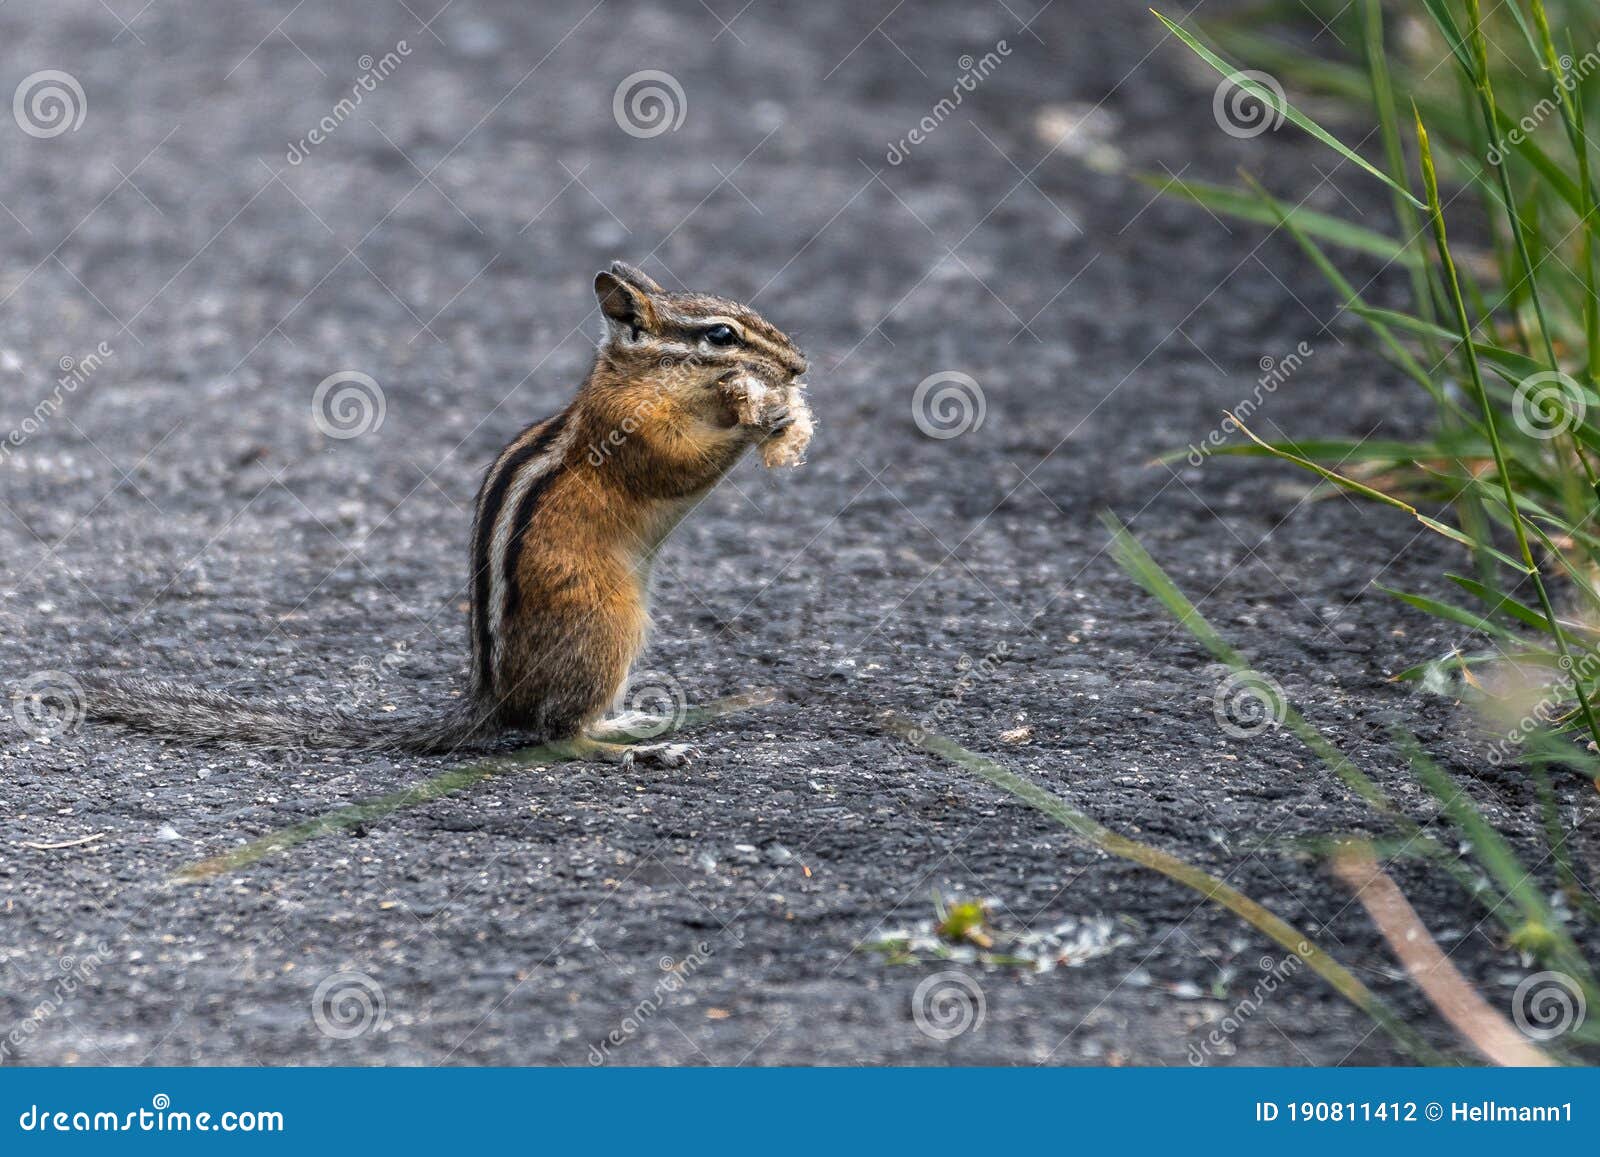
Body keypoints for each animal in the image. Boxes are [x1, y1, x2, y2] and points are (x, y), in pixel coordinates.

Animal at [83, 262, 813, 766]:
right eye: (721, 335)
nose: (800, 365)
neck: (636, 377)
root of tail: (492, 697)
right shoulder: (629, 432)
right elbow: (680, 463)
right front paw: (762, 418)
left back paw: (630, 723)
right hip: (608, 625)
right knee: (555, 734)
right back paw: (636, 750)